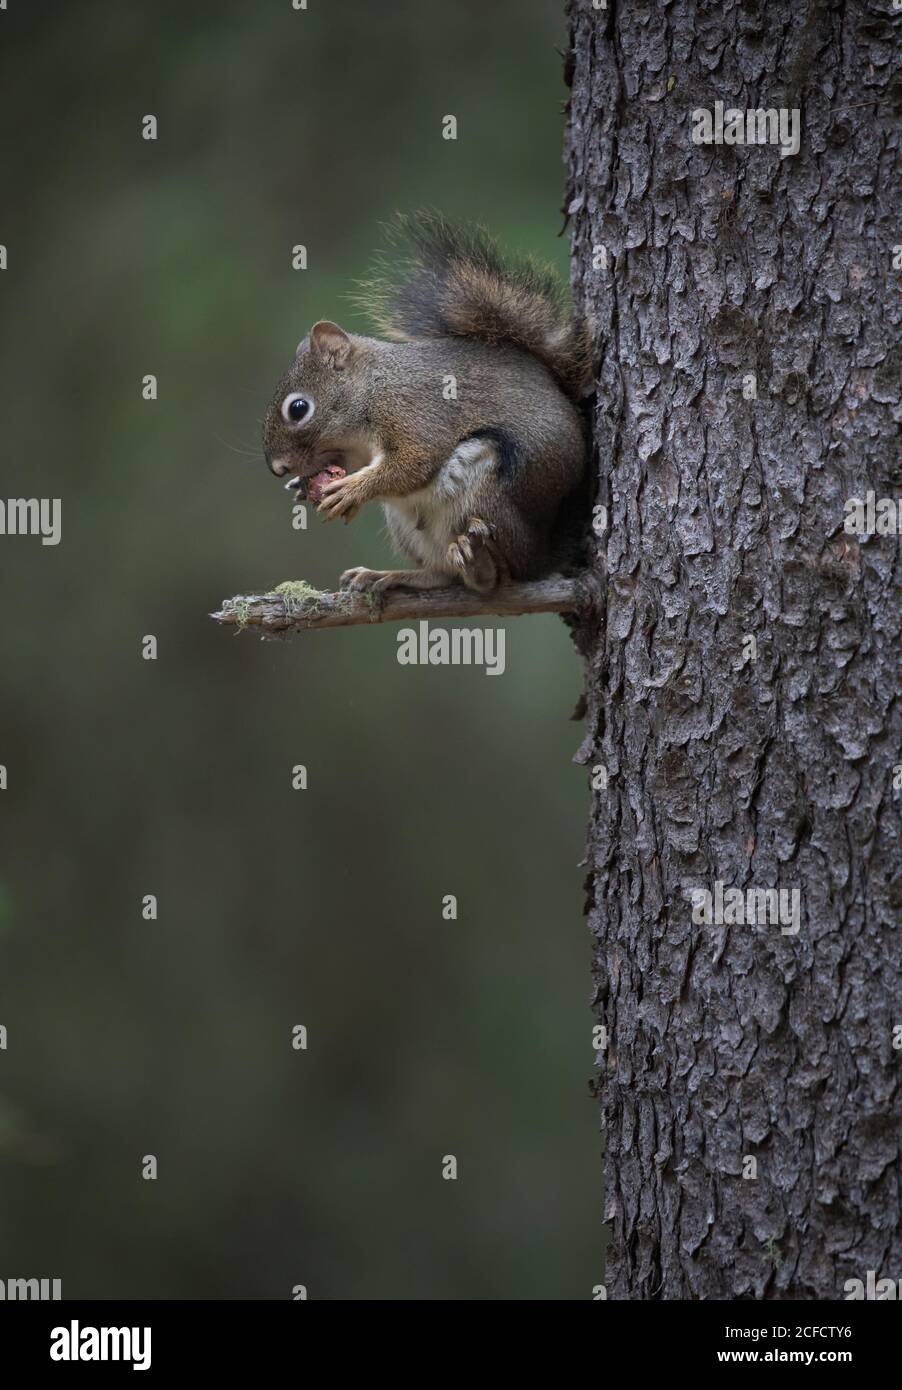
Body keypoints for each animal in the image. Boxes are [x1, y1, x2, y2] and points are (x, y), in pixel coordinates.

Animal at [263, 213, 592, 595]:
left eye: (298, 409)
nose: (278, 468)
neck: (372, 389)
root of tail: (543, 553)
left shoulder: (413, 412)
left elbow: (414, 463)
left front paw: (352, 490)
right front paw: (302, 486)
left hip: (486, 495)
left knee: (503, 576)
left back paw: (483, 568)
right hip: (407, 526)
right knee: (441, 574)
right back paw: (388, 575)